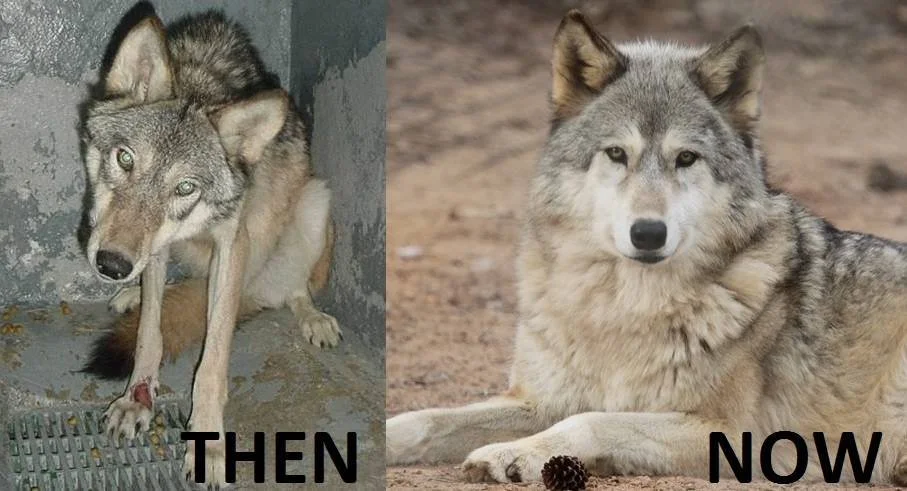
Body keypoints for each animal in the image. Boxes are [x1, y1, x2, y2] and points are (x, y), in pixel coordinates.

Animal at [80, 9, 340, 486]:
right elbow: (149, 333)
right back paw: (132, 295)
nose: (111, 264)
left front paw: (210, 445)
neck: (200, 82)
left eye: (185, 188)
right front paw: (137, 398)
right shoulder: (157, 246)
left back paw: (313, 317)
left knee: (293, 290)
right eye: (125, 159)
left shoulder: (232, 242)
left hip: (314, 202)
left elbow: (213, 362)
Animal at [386, 10, 907, 485]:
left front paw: (514, 453)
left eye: (686, 158)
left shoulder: (731, 432)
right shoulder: (538, 400)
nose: (649, 233)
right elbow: (425, 418)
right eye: (617, 154)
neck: (621, 312)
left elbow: (590, 421)